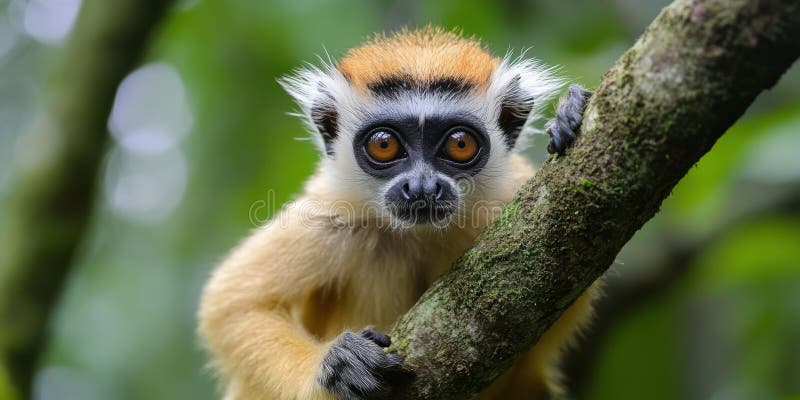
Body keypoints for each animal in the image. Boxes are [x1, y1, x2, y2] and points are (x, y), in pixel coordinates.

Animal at [198, 27, 597, 400]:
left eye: (460, 144)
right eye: (384, 145)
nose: (421, 187)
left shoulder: (508, 195)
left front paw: (570, 113)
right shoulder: (333, 217)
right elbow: (230, 306)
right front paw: (335, 366)